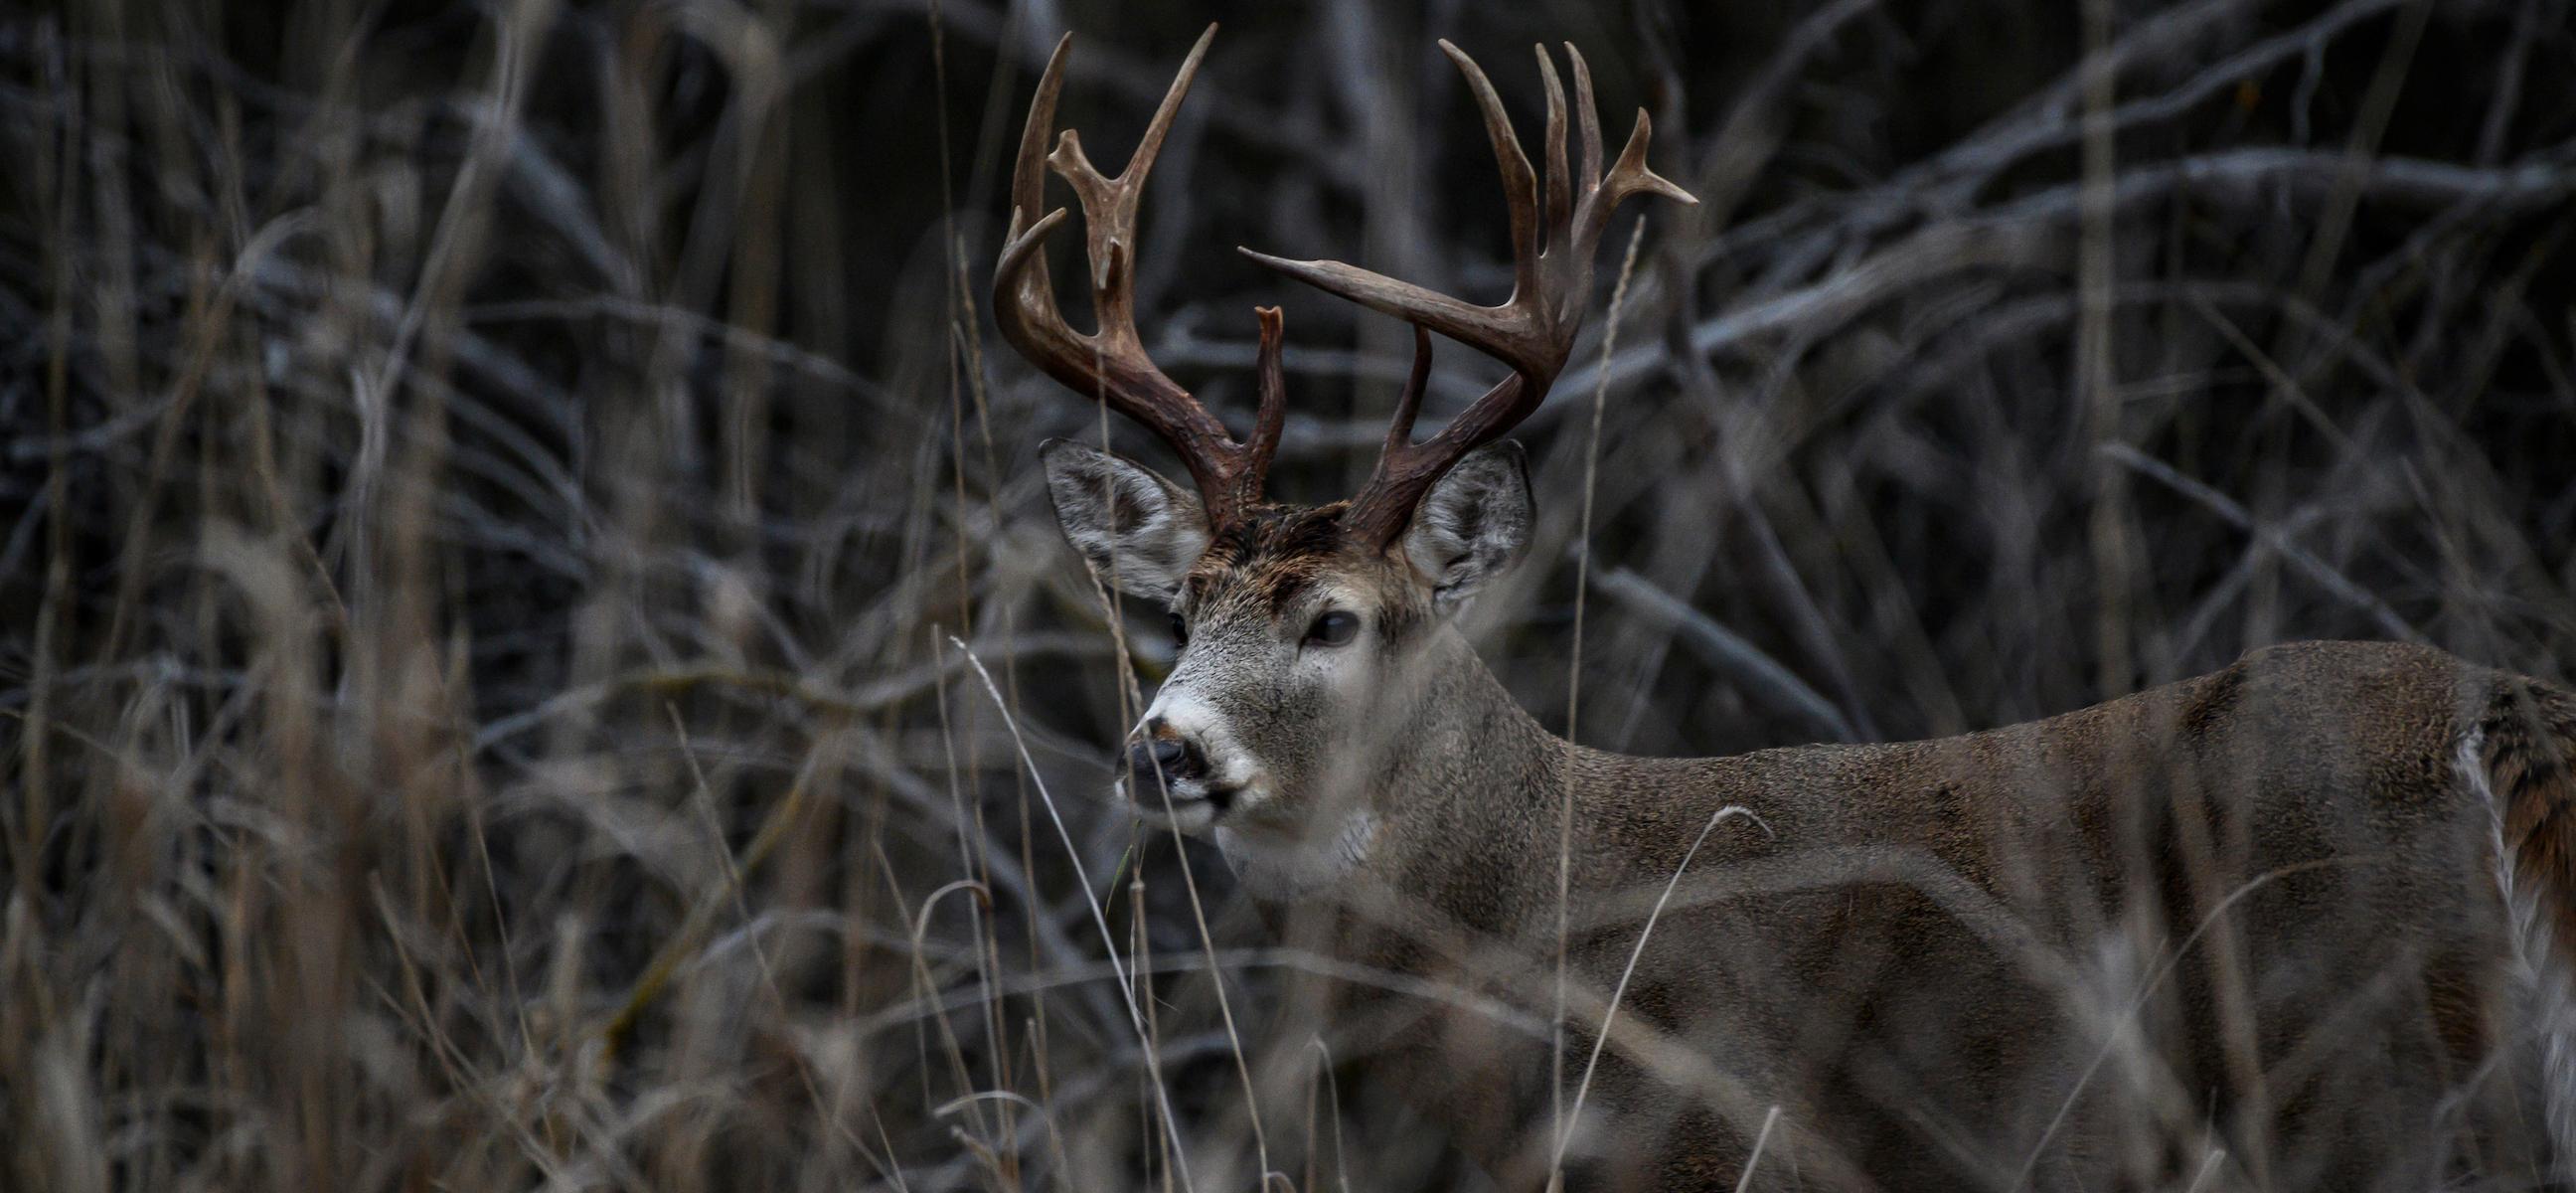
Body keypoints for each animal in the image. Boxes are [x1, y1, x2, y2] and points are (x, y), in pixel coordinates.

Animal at [994, 27, 2576, 1193]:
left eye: (1333, 620)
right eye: (1181, 607)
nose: (1161, 749)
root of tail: (2496, 712)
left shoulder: (1717, 1134)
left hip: (2369, 1067)